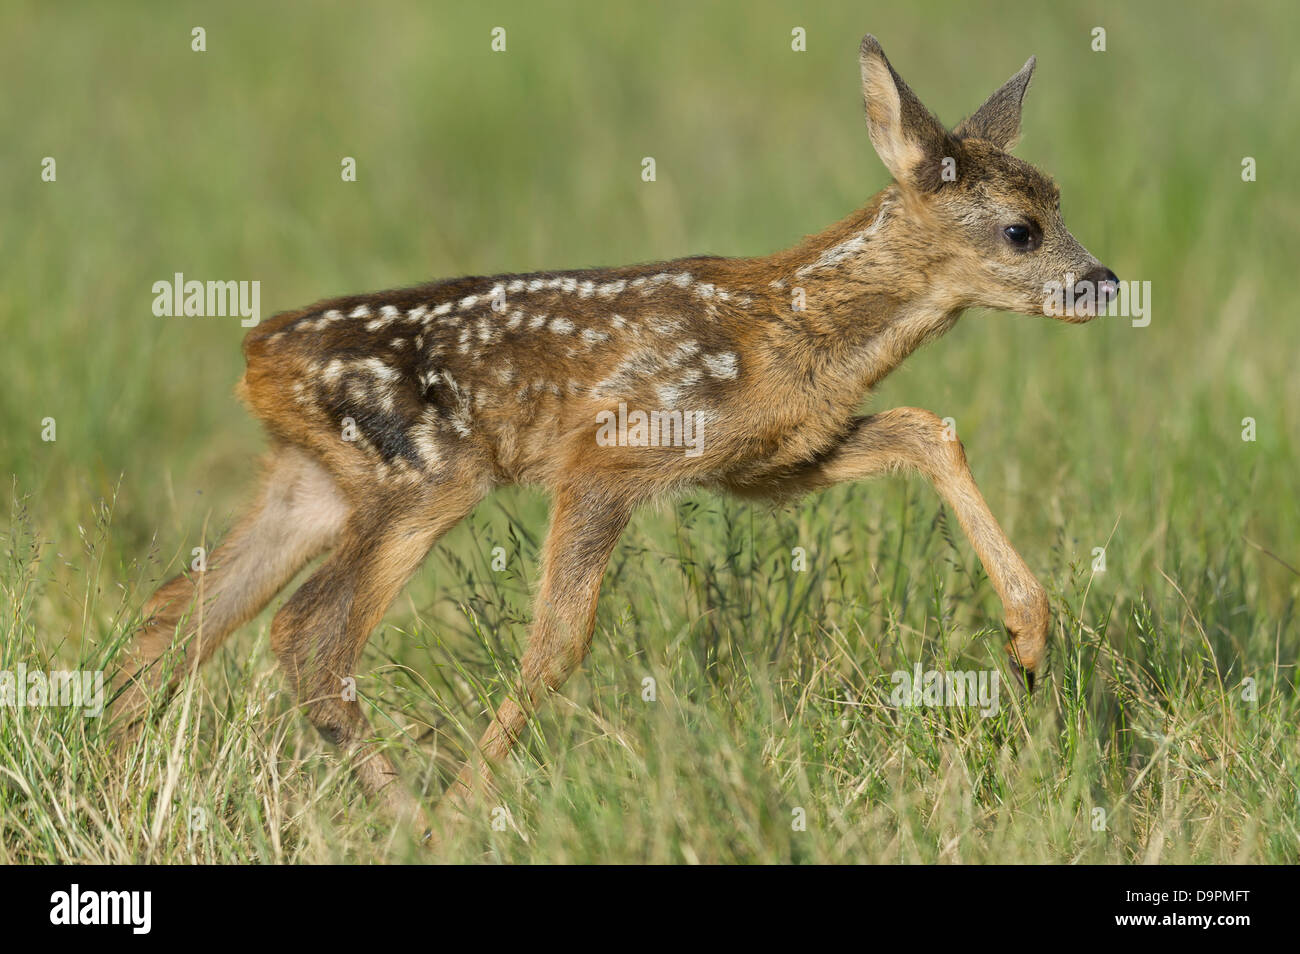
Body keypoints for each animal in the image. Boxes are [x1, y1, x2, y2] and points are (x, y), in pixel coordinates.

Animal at [112, 35, 1116, 840]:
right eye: (1022, 230)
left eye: (1063, 200)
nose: (1105, 283)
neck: (801, 324)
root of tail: (256, 355)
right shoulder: (614, 452)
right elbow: (557, 642)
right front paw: (467, 812)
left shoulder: (774, 460)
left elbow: (924, 426)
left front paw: (1028, 639)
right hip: (426, 475)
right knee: (307, 633)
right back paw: (411, 822)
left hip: (316, 481)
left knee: (176, 612)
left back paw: (116, 781)